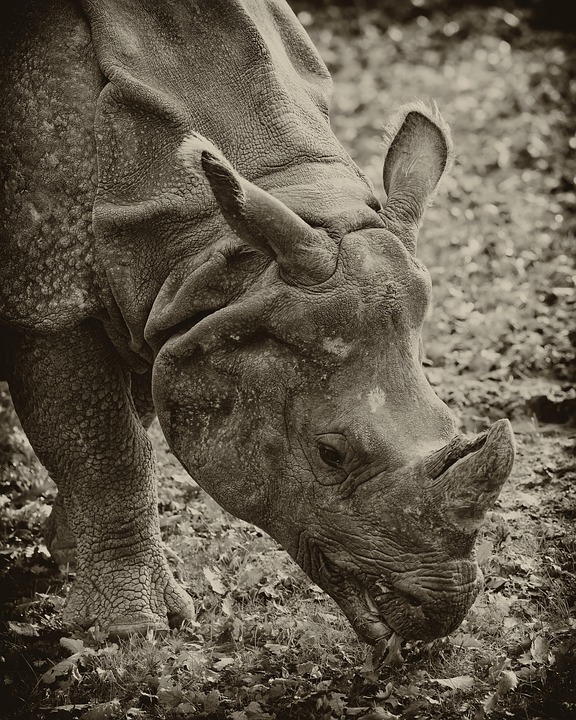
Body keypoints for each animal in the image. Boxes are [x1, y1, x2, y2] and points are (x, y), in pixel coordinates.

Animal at [0, 0, 515, 644]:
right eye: (330, 454)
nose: (441, 609)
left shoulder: (168, 299)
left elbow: (126, 420)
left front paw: (71, 554)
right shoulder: (46, 296)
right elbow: (108, 447)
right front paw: (129, 628)